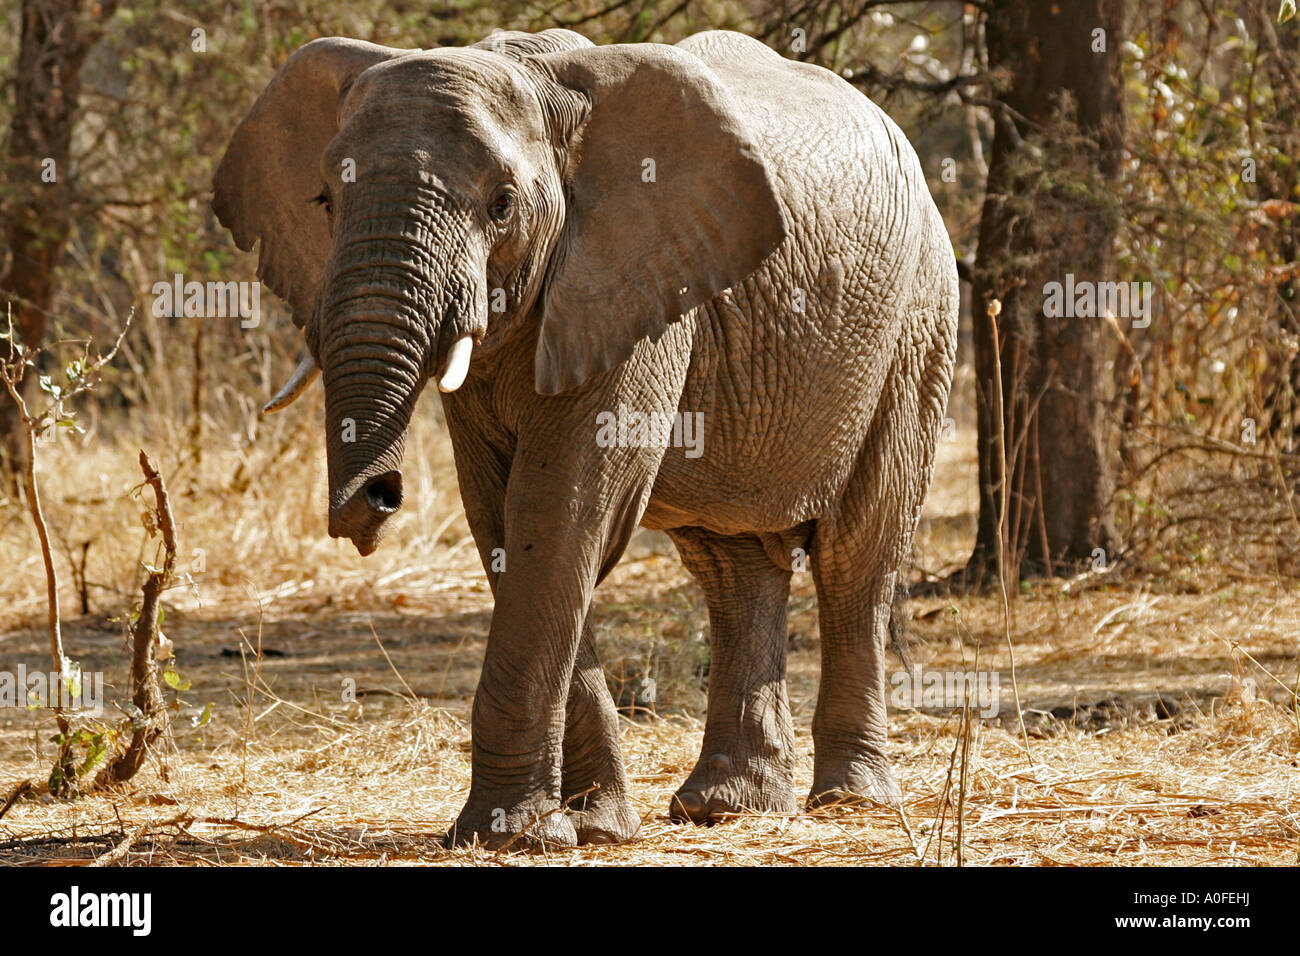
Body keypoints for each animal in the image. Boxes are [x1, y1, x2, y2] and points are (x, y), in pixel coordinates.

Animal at [213, 27, 958, 848]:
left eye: (502, 205)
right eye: (325, 200)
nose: (379, 496)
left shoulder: (640, 284)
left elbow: (559, 506)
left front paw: (513, 836)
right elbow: (501, 519)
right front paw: (594, 828)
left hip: (919, 320)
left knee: (857, 554)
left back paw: (851, 802)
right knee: (732, 565)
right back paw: (727, 807)